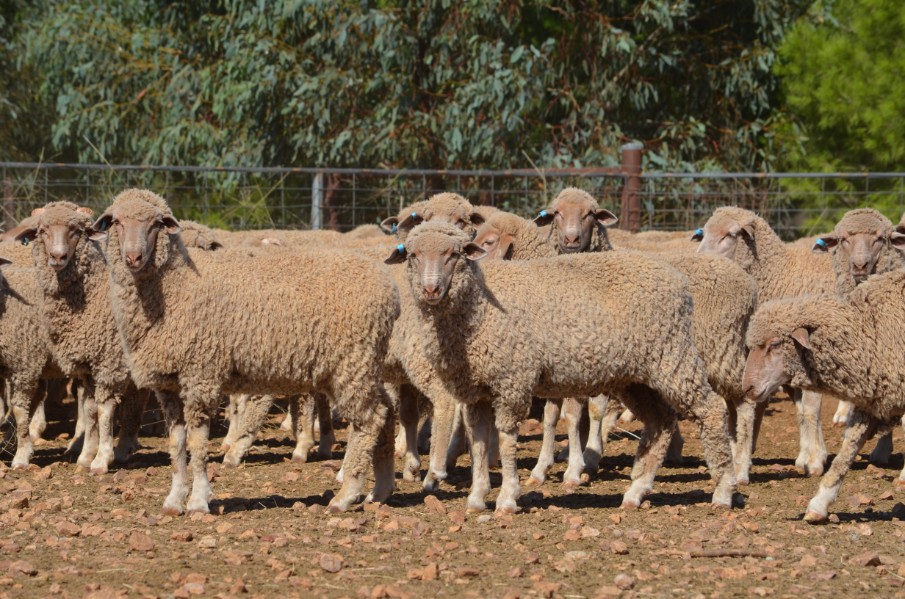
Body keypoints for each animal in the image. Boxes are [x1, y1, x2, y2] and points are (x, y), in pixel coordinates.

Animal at [15, 201, 152, 473]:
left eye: (76, 231)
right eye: (43, 231)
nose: (57, 257)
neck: (92, 296)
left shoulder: (108, 362)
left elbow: (105, 410)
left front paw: (101, 459)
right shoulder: (88, 366)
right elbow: (89, 410)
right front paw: (87, 454)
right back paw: (126, 447)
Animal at [92, 188, 400, 515]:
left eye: (156, 224)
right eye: (116, 222)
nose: (133, 257)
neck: (176, 288)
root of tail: (391, 289)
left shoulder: (201, 374)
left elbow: (198, 444)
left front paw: (198, 501)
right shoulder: (169, 384)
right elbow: (176, 445)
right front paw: (174, 500)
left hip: (354, 362)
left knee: (370, 419)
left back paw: (346, 494)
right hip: (358, 365)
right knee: (386, 410)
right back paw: (381, 489)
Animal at [386, 222, 737, 513]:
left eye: (453, 254)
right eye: (413, 255)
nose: (431, 289)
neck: (478, 307)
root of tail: (678, 281)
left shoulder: (513, 378)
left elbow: (507, 439)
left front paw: (507, 498)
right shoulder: (477, 390)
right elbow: (479, 443)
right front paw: (476, 496)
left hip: (673, 356)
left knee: (711, 409)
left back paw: (723, 490)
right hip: (637, 377)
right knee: (661, 422)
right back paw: (636, 491)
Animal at [697, 206, 836, 476]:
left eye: (730, 234)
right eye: (704, 232)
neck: (780, 273)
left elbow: (810, 409)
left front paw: (815, 461)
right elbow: (793, 408)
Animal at [742, 268, 905, 522]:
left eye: (776, 343)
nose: (746, 387)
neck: (872, 331)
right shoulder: (870, 402)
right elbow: (847, 450)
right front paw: (819, 504)